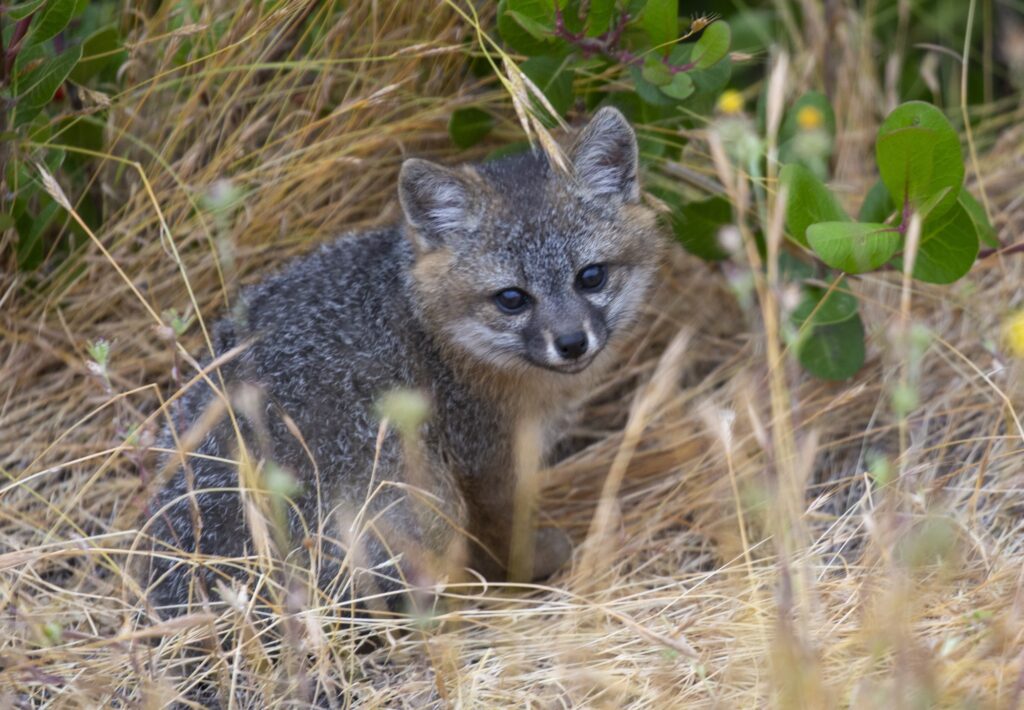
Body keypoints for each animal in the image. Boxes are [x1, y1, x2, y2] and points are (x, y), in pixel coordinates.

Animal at [144, 106, 664, 616]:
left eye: (591, 277)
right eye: (512, 299)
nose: (573, 342)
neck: (433, 331)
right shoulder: (485, 463)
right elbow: (507, 536)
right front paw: (532, 567)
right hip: (431, 498)